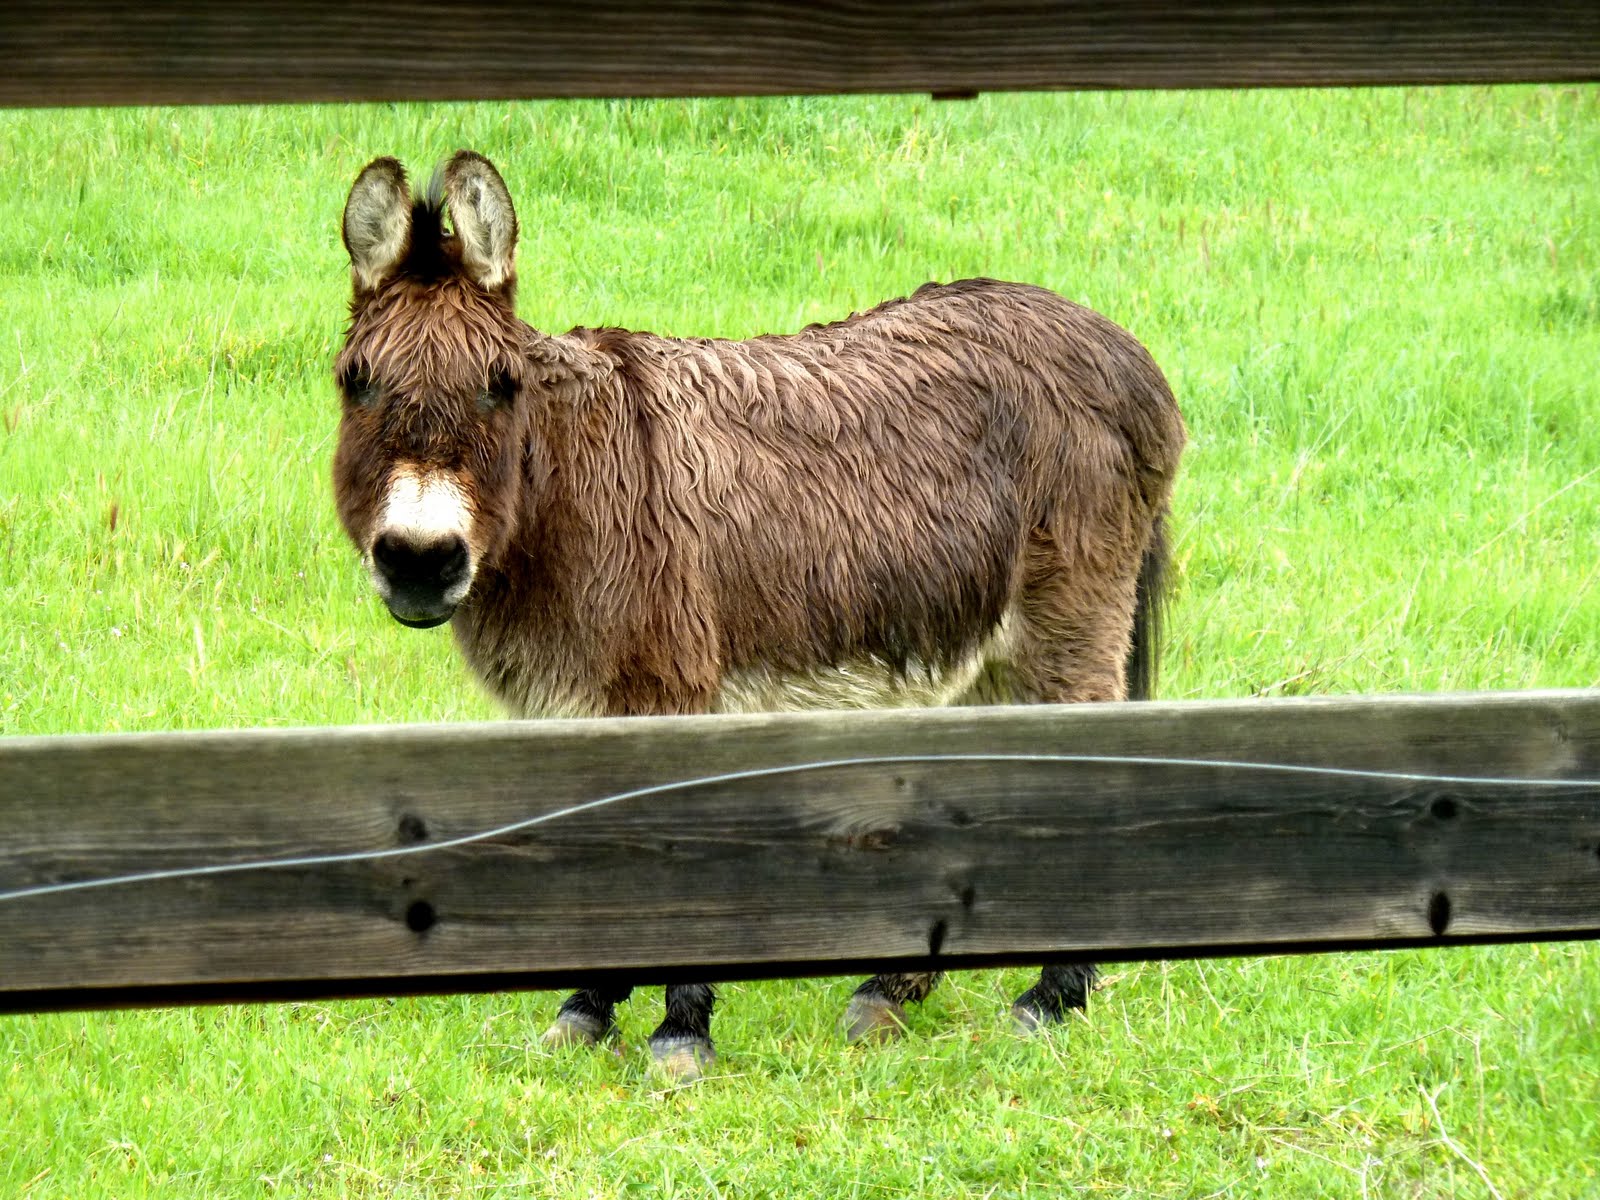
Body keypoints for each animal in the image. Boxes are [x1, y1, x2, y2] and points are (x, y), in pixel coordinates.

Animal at [332, 150, 1185, 1080]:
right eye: (356, 383)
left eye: (500, 386)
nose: (420, 561)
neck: (565, 485)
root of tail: (1110, 336)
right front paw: (588, 1007)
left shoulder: (669, 685)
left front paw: (680, 1031)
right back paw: (894, 992)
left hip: (1069, 622)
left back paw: (1052, 997)